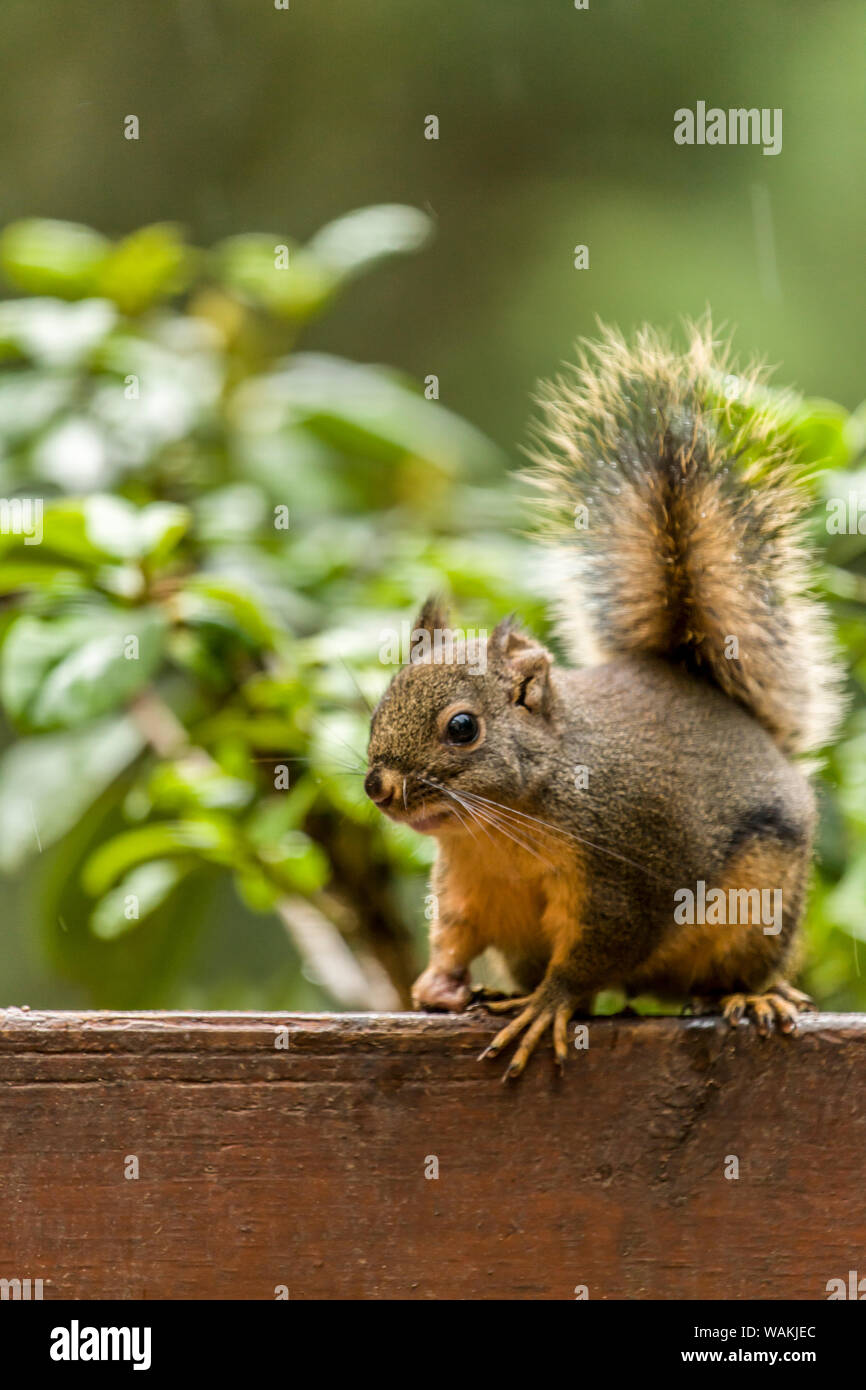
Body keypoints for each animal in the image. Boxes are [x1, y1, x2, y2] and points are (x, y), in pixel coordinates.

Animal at [364, 323, 845, 1078]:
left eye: (463, 728)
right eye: (378, 708)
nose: (377, 786)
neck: (503, 827)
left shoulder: (622, 871)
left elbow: (594, 954)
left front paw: (548, 1006)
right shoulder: (466, 887)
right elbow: (454, 934)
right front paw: (438, 984)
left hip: (761, 901)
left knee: (734, 972)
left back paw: (751, 996)